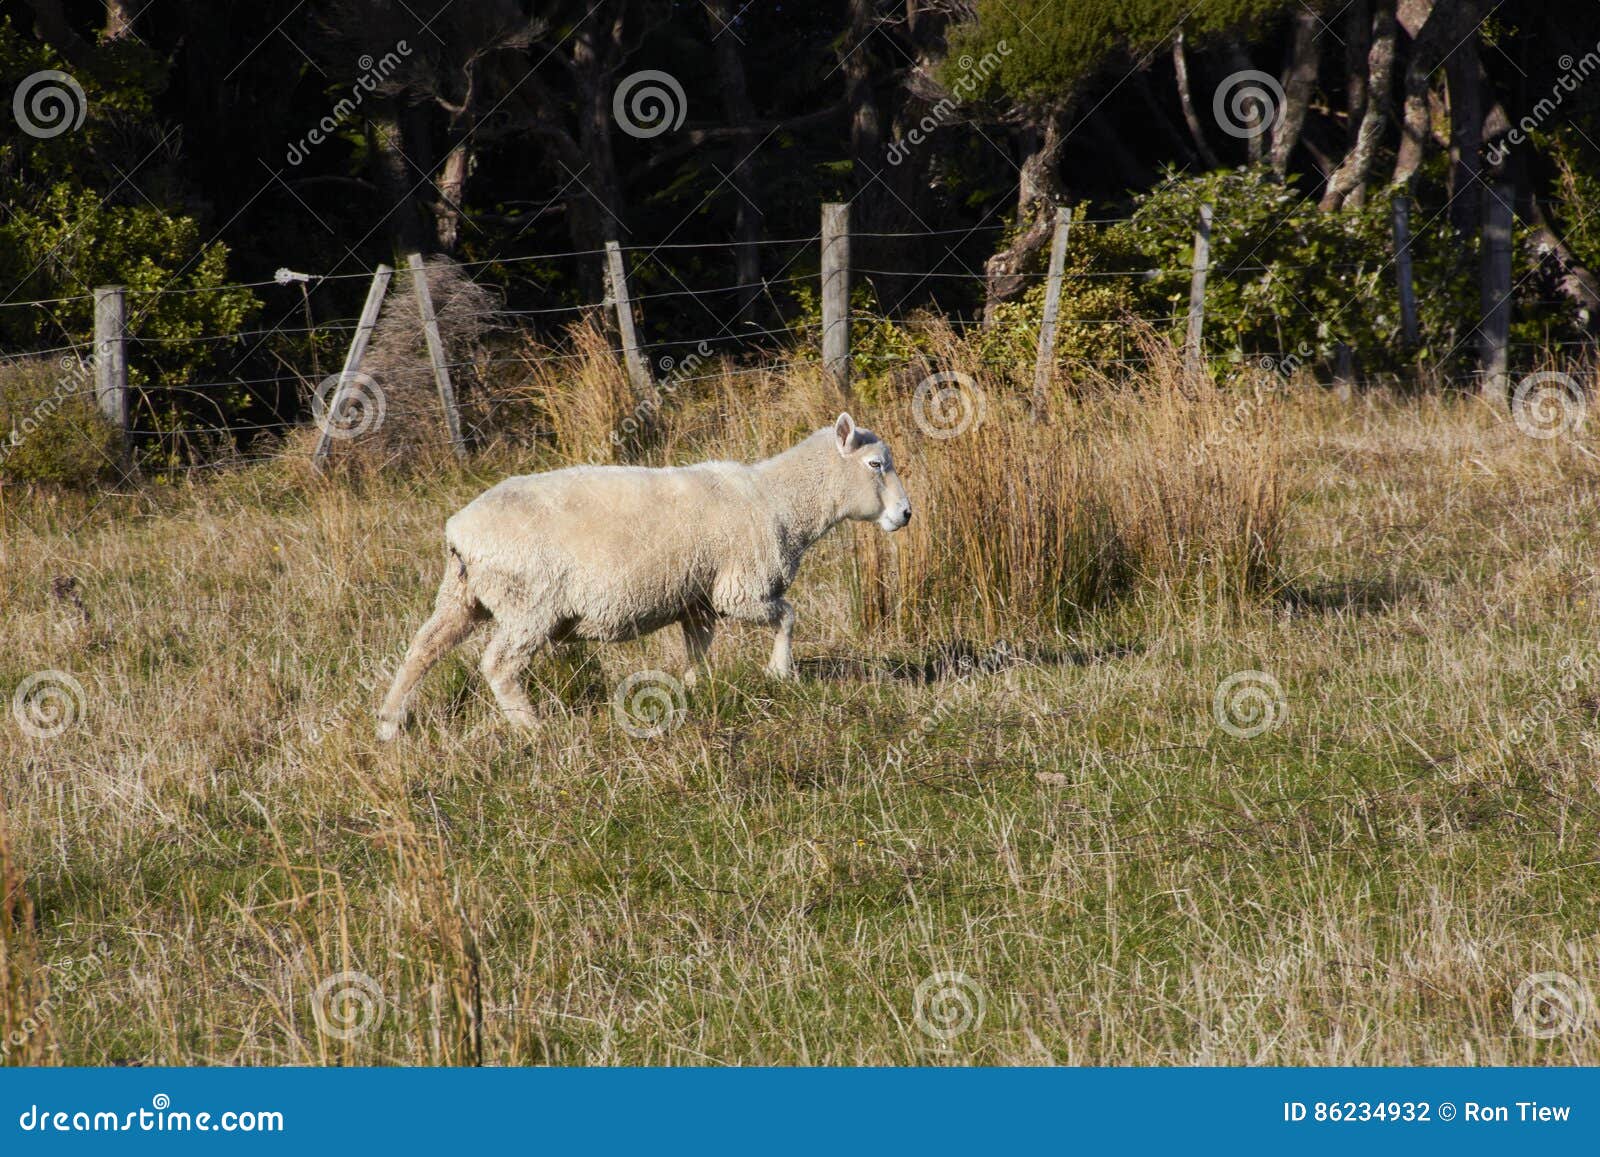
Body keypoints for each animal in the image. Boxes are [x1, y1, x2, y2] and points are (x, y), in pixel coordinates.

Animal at [376, 413, 911, 739]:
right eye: (875, 464)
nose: (906, 514)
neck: (780, 502)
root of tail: (459, 530)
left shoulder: (699, 599)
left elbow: (698, 649)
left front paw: (695, 689)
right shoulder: (740, 587)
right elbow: (789, 616)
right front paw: (780, 672)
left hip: (462, 592)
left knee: (423, 648)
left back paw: (389, 723)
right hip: (530, 602)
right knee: (499, 664)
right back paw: (532, 727)